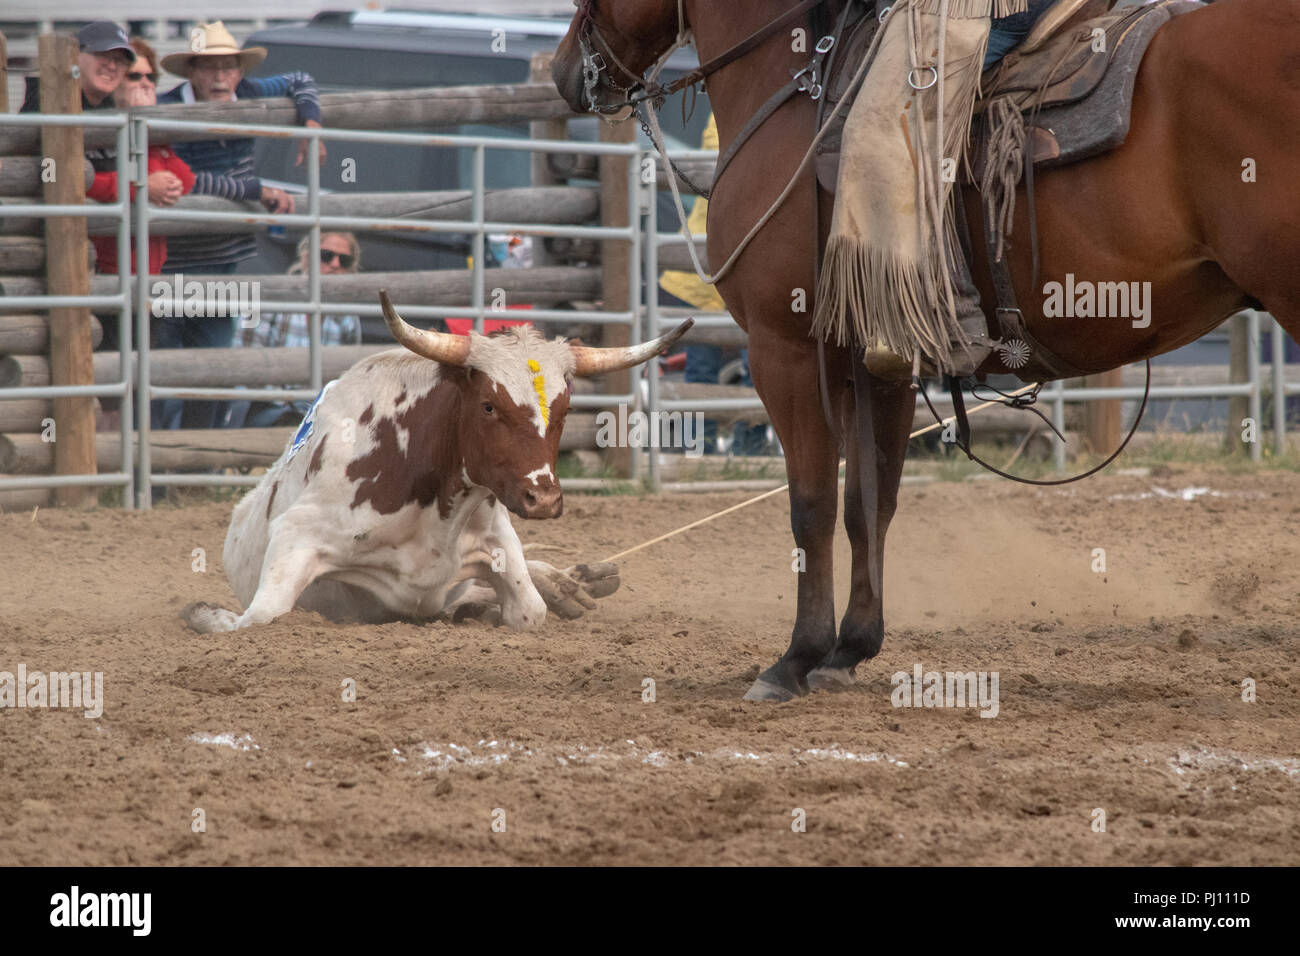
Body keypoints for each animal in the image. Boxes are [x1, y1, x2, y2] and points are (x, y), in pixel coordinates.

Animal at [184, 291, 691, 633]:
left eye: (565, 410)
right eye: (488, 405)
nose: (543, 500)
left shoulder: (497, 537)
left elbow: (530, 609)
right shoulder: (295, 534)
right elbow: (259, 617)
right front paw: (204, 613)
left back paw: (580, 581)